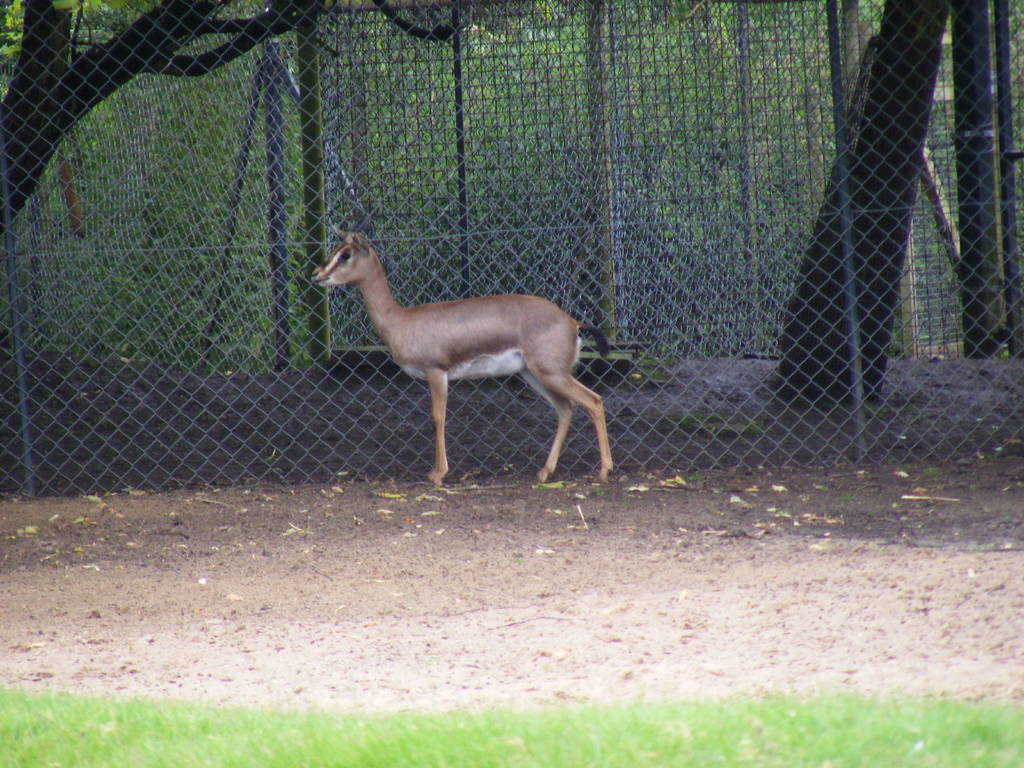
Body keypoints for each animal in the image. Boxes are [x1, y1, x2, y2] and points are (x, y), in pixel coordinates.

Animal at [312, 231, 613, 486]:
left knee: (594, 401)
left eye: (345, 254)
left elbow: (438, 417)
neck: (401, 321)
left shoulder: (436, 372)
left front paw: (437, 474)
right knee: (566, 408)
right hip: (534, 374)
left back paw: (603, 471)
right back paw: (544, 472)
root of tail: (572, 322)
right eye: (335, 250)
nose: (317, 275)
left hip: (552, 373)